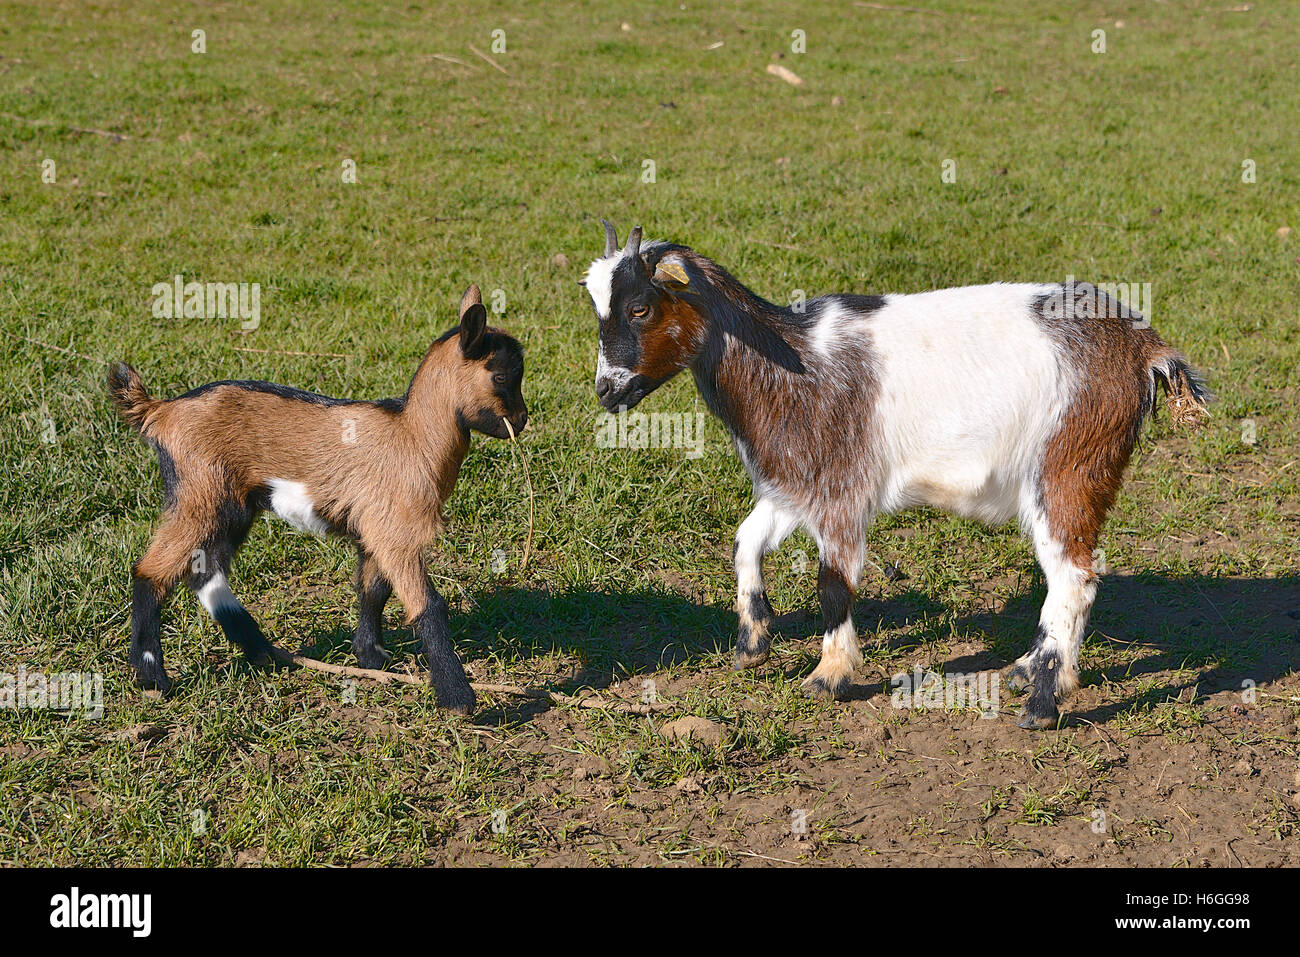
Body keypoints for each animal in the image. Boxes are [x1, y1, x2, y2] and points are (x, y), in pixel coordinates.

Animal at [108, 284, 527, 714]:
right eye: (501, 375)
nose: (522, 420)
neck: (412, 437)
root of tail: (160, 411)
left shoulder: (375, 527)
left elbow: (373, 589)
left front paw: (372, 658)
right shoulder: (397, 530)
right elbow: (427, 605)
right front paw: (458, 697)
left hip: (230, 505)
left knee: (204, 570)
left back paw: (262, 652)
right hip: (198, 495)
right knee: (150, 572)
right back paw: (153, 678)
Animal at [582, 221, 1210, 729]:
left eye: (640, 308)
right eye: (598, 308)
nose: (607, 391)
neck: (789, 360)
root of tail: (1143, 345)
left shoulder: (841, 489)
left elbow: (833, 584)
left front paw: (829, 675)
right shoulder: (794, 484)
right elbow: (745, 542)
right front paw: (753, 642)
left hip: (1069, 467)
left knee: (1074, 579)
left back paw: (1041, 704)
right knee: (1066, 581)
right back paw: (1027, 671)